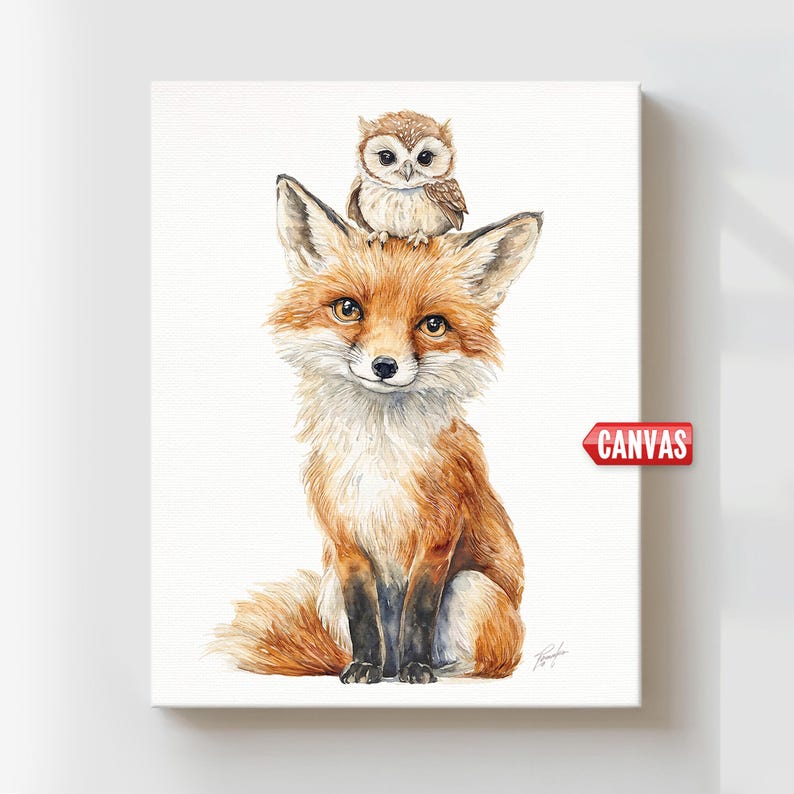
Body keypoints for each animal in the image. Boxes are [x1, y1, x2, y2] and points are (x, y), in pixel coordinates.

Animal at [213, 175, 542, 684]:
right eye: (348, 309)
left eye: (433, 325)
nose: (384, 366)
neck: (380, 455)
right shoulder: (346, 542)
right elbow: (364, 615)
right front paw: (365, 666)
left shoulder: (439, 536)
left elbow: (419, 612)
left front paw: (416, 667)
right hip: (328, 590)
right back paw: (381, 666)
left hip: (472, 590)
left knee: (488, 665)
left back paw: (426, 669)